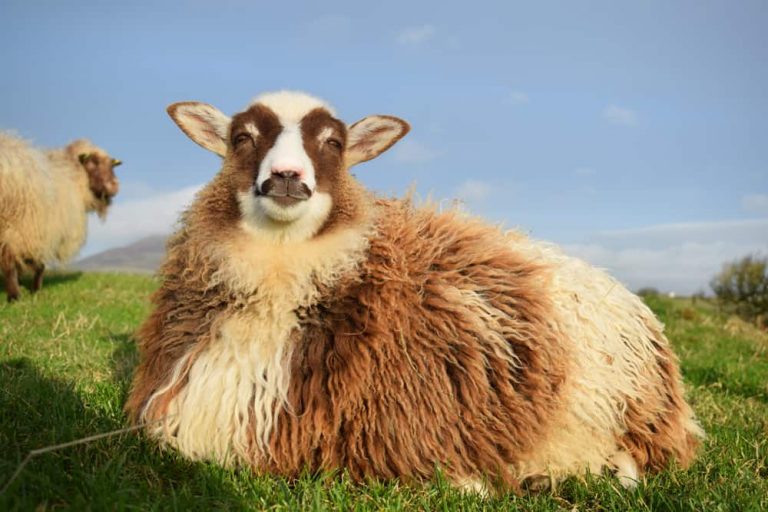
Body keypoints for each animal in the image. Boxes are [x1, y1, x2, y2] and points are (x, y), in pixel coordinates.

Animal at [0, 133, 121, 302]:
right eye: (92, 162)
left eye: (111, 165)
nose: (114, 185)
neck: (72, 176)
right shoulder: (27, 228)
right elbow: (31, 262)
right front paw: (34, 289)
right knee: (9, 262)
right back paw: (14, 296)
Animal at [126, 91, 702, 494]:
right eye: (242, 138)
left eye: (333, 143)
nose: (287, 177)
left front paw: (474, 482)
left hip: (633, 409)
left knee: (635, 461)